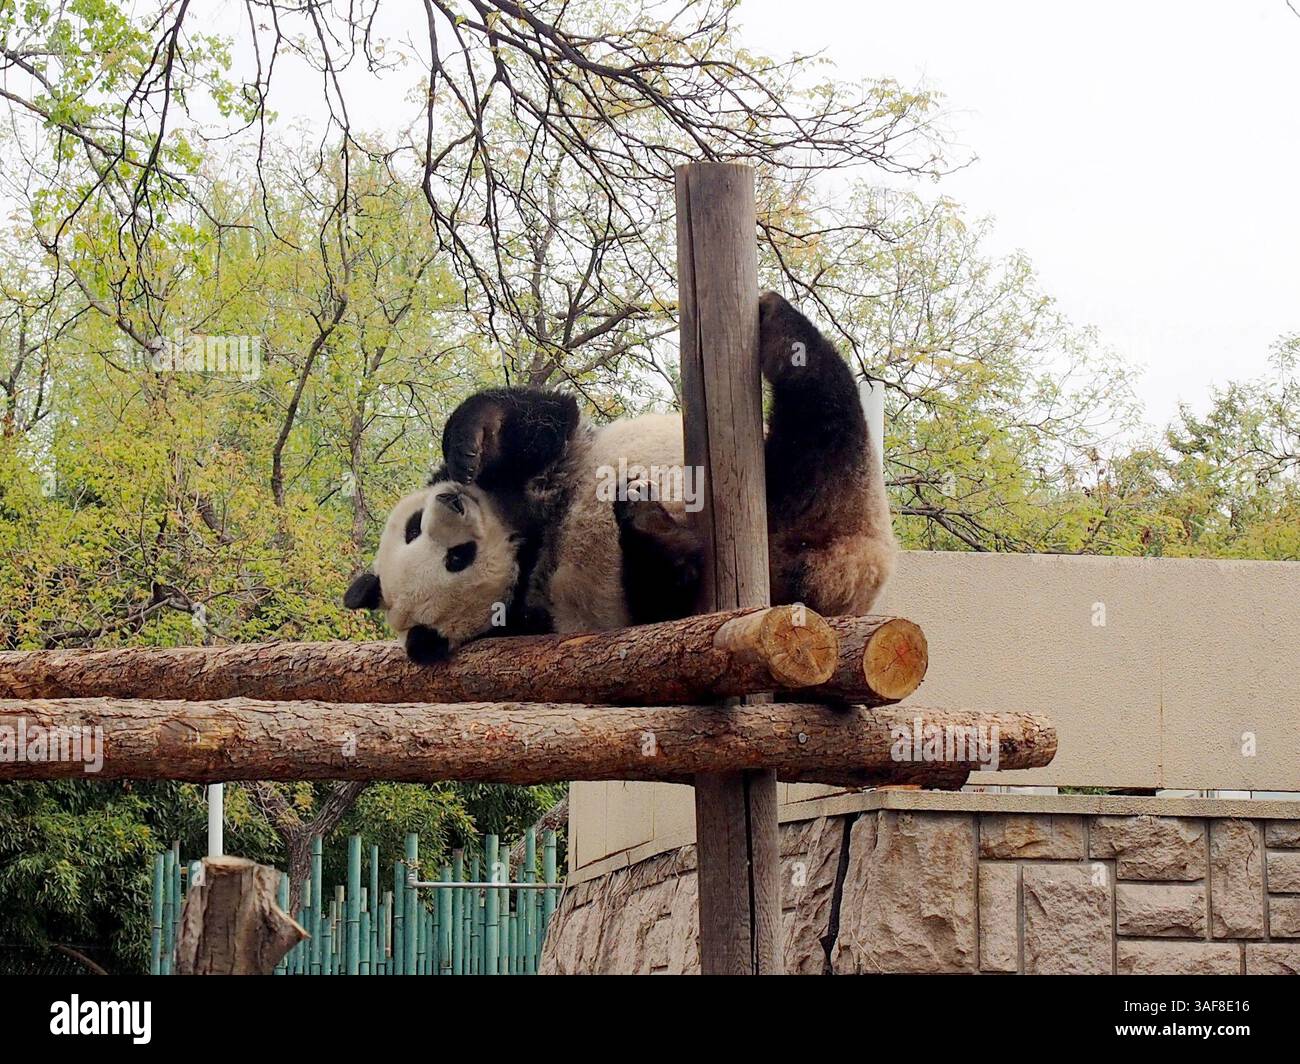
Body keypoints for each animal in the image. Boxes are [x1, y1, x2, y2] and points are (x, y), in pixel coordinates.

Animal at [345, 291, 897, 663]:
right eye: (457, 558)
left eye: (413, 527)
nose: (453, 505)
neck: (525, 537)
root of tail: (846, 569)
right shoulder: (538, 616)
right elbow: (656, 605)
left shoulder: (543, 467)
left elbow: (540, 420)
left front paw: (468, 445)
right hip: (814, 499)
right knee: (819, 424)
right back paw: (647, 522)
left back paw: (773, 318)